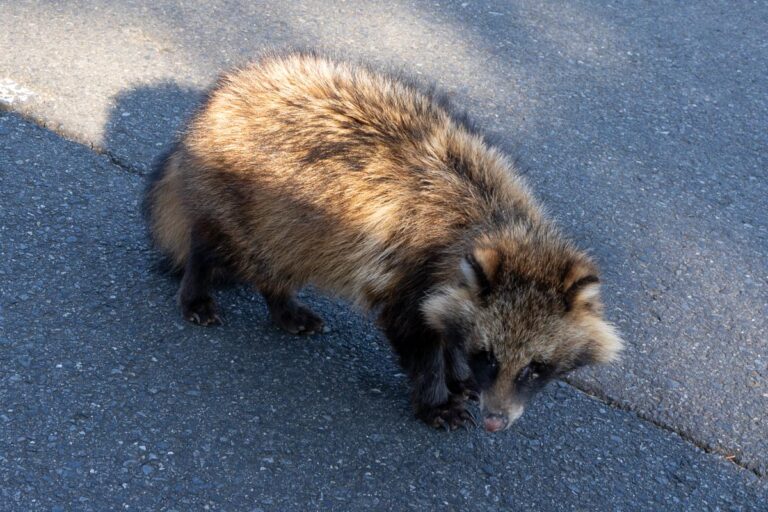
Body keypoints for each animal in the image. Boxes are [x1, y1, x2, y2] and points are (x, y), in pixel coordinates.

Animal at [143, 52, 623, 431]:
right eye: (488, 356)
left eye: (536, 368)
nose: (495, 422)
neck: (496, 221)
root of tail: (216, 98)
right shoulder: (408, 267)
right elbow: (413, 333)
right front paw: (435, 394)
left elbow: (444, 328)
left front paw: (456, 372)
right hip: (238, 198)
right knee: (216, 245)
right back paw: (198, 285)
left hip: (284, 218)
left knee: (278, 257)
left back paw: (282, 302)